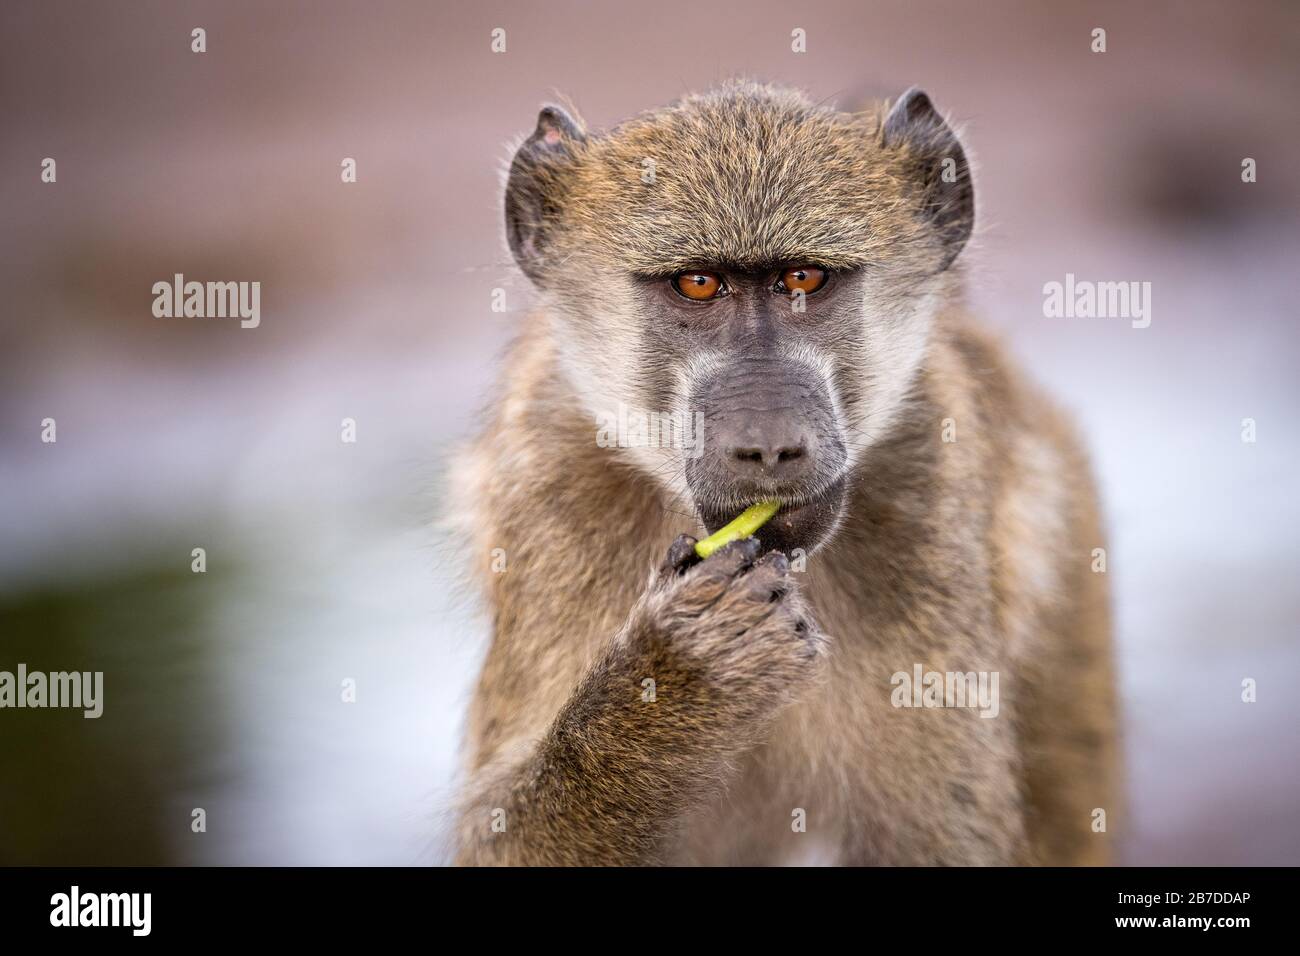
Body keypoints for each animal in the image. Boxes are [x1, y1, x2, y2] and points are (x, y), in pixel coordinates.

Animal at [448, 81, 1119, 866]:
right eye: (698, 284)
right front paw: (684, 670)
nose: (768, 445)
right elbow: (496, 834)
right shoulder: (550, 491)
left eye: (803, 278)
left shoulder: (927, 487)